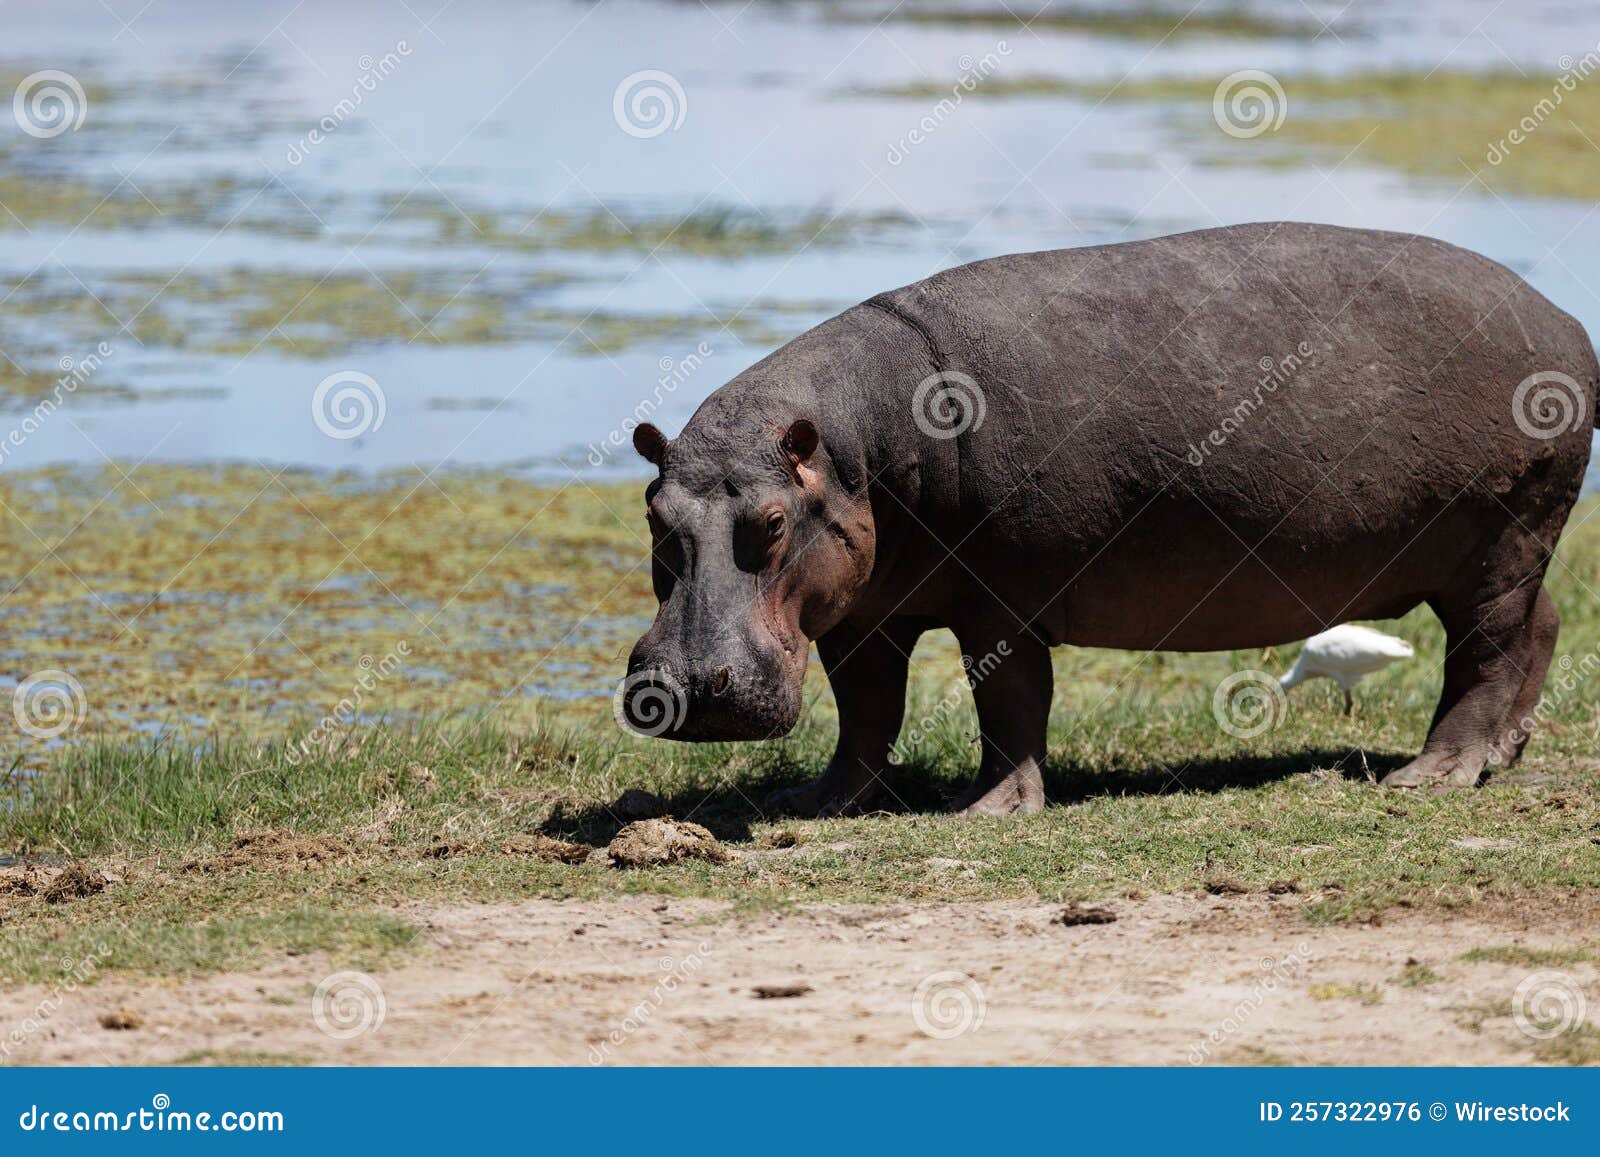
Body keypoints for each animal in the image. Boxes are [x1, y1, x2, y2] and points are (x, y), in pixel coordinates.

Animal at [621, 221, 1597, 815]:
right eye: (655, 512)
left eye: (772, 521)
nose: (683, 685)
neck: (852, 450)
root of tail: (1566, 321)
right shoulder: (862, 610)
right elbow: (866, 710)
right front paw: (820, 801)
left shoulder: (1000, 599)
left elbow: (1011, 701)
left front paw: (988, 810)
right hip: (1494, 550)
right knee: (1541, 623)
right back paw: (1506, 752)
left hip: (1500, 540)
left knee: (1484, 653)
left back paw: (1431, 776)